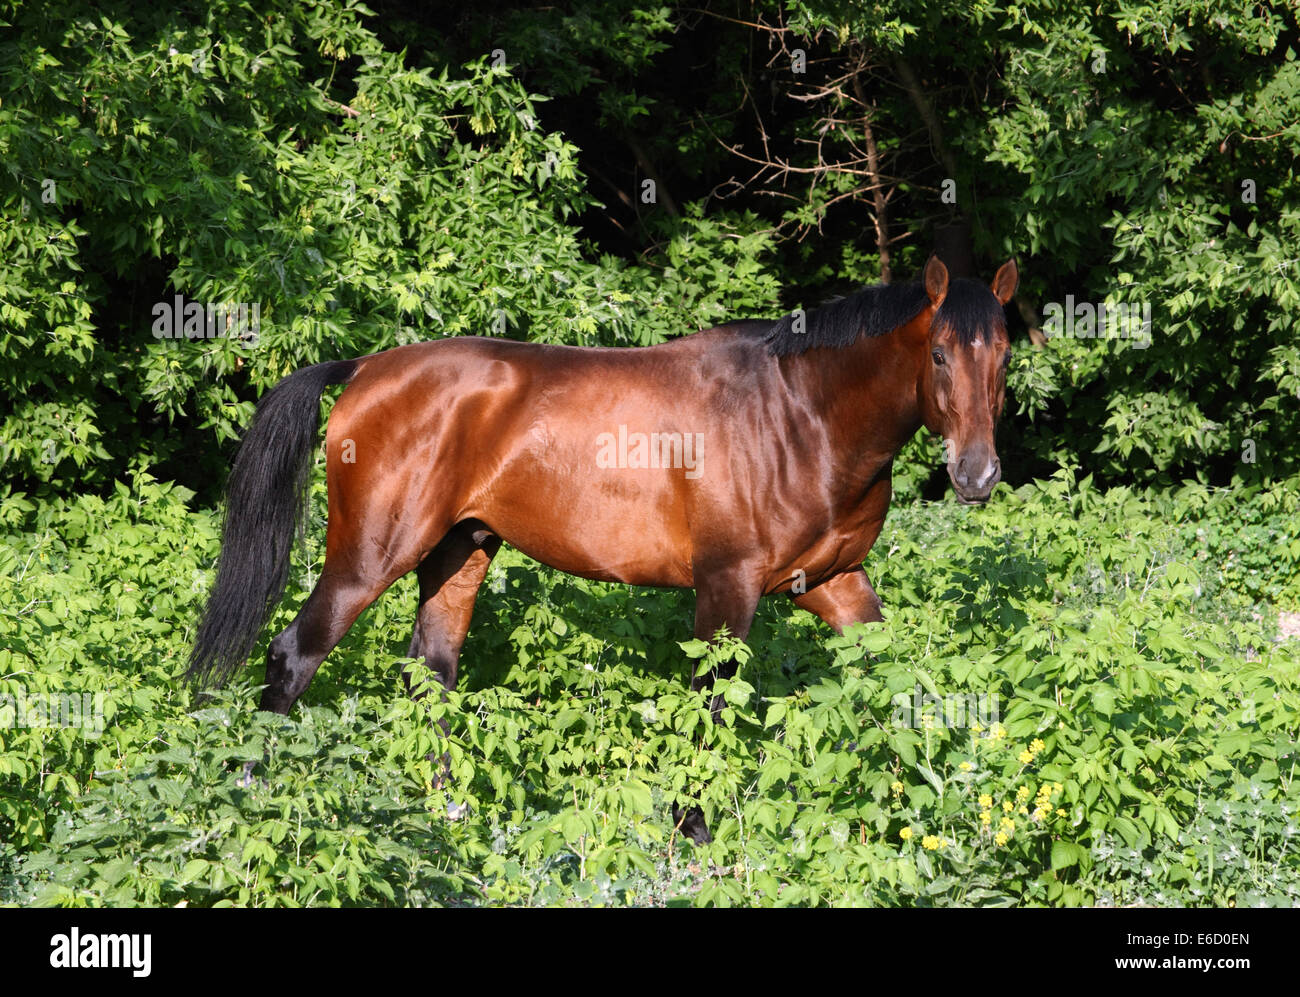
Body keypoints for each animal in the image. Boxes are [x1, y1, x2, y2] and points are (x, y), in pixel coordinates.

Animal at [187, 254, 1018, 843]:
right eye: (939, 353)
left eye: (1005, 354)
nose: (976, 473)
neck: (797, 412)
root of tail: (365, 369)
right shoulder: (728, 587)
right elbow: (708, 706)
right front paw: (695, 831)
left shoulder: (834, 580)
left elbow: (896, 681)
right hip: (369, 557)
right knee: (294, 655)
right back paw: (248, 799)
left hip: (458, 553)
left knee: (431, 676)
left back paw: (448, 819)